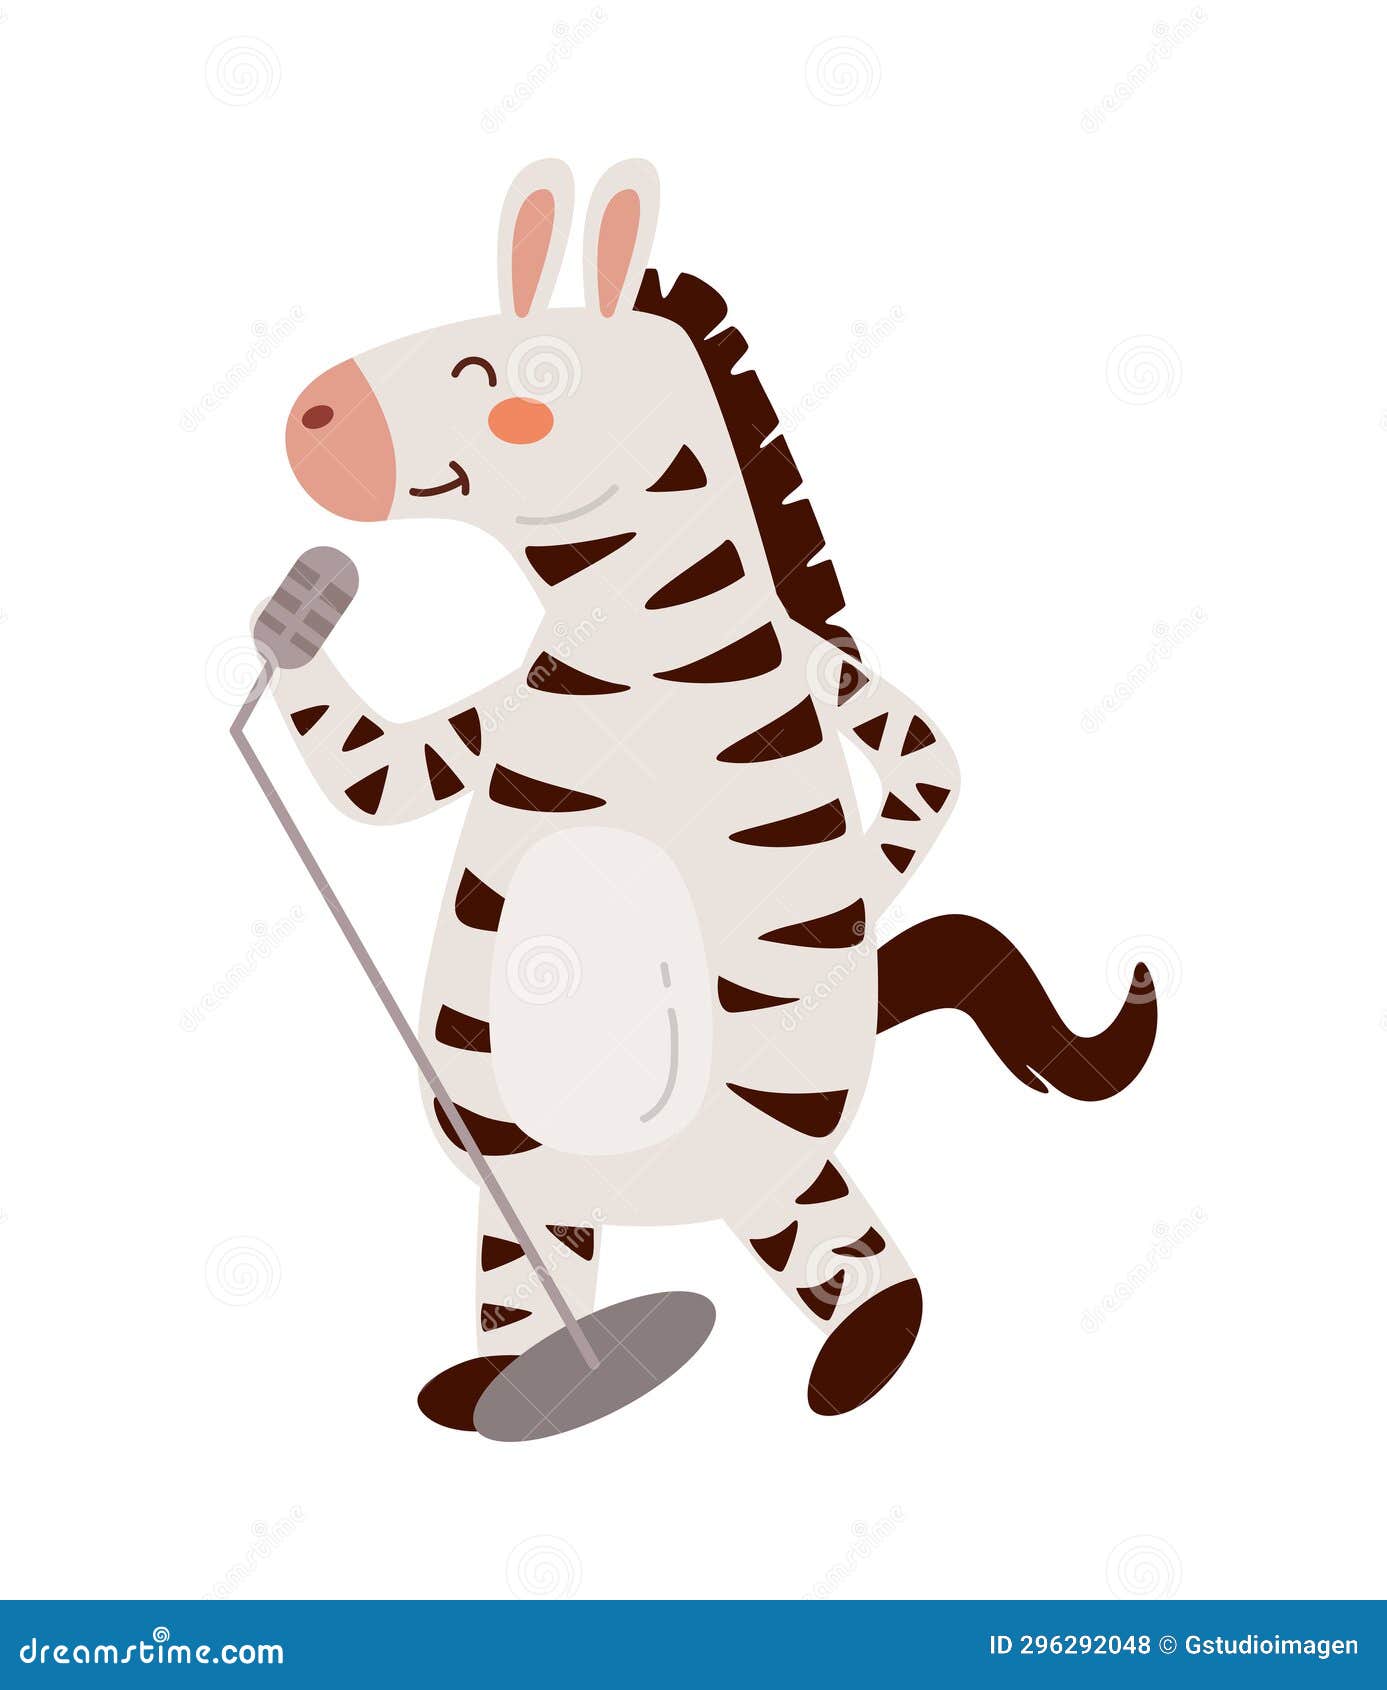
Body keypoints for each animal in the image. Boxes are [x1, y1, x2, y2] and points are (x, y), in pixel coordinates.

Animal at [255, 160, 1156, 1430]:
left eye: (492, 374)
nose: (310, 417)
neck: (628, 647)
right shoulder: (489, 724)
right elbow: (375, 780)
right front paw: (284, 624)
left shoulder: (828, 690)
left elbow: (928, 771)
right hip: (531, 1177)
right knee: (538, 1263)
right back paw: (518, 1379)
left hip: (762, 1151)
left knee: (838, 1246)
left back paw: (856, 1359)